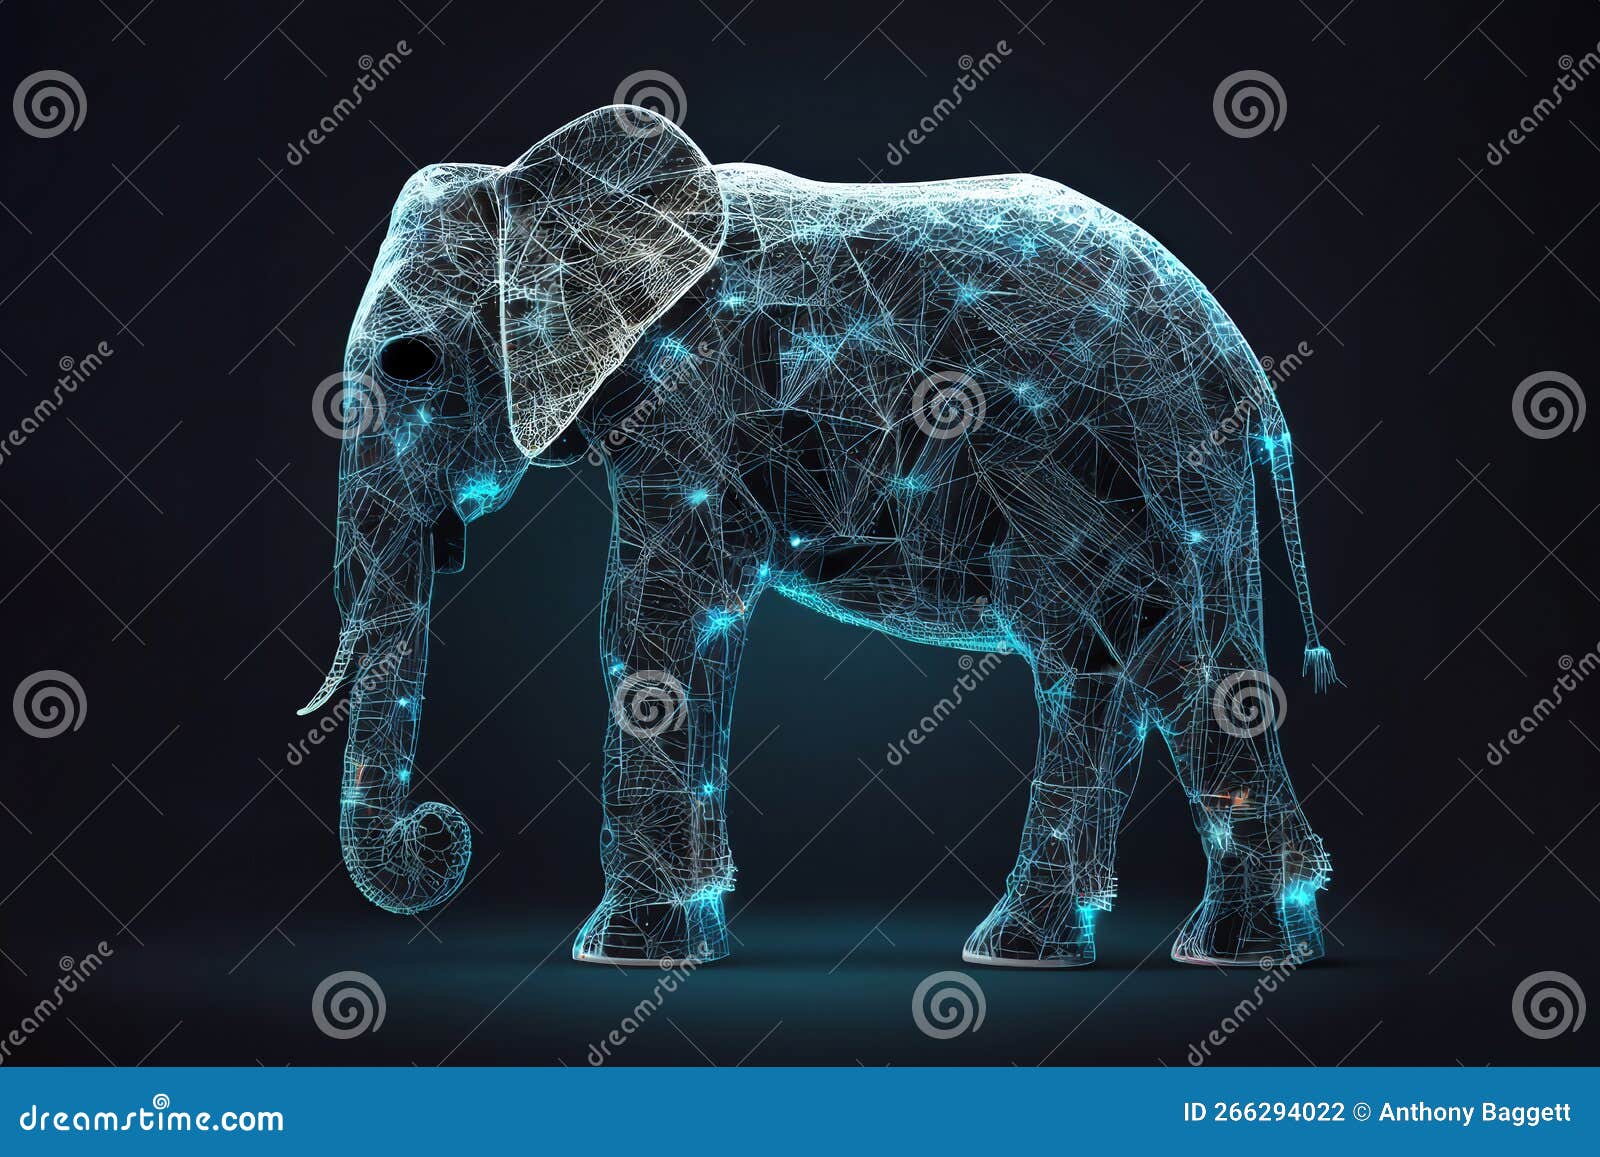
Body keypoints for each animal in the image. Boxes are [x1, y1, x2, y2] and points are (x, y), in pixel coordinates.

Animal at [300, 105, 1338, 969]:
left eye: (410, 361)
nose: (440, 831)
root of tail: (1239, 360)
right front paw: (679, 941)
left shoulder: (699, 396)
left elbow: (652, 611)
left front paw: (628, 952)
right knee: (1106, 653)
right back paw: (1043, 949)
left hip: (1123, 446)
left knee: (1158, 644)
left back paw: (1227, 952)